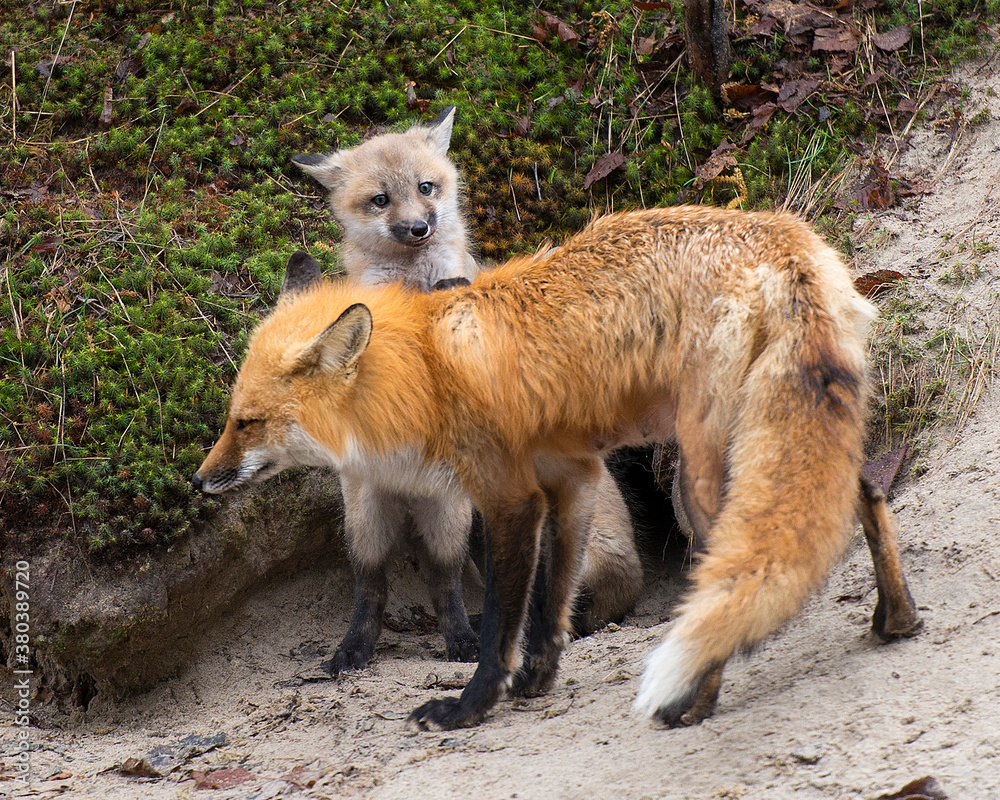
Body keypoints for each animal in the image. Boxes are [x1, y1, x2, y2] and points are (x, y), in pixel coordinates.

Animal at [193, 206, 922, 730]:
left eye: (247, 422)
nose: (199, 481)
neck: (429, 369)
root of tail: (783, 236)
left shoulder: (508, 496)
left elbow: (501, 622)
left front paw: (471, 706)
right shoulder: (571, 478)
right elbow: (552, 602)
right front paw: (537, 682)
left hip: (702, 473)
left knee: (730, 574)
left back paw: (696, 704)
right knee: (861, 493)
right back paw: (897, 620)